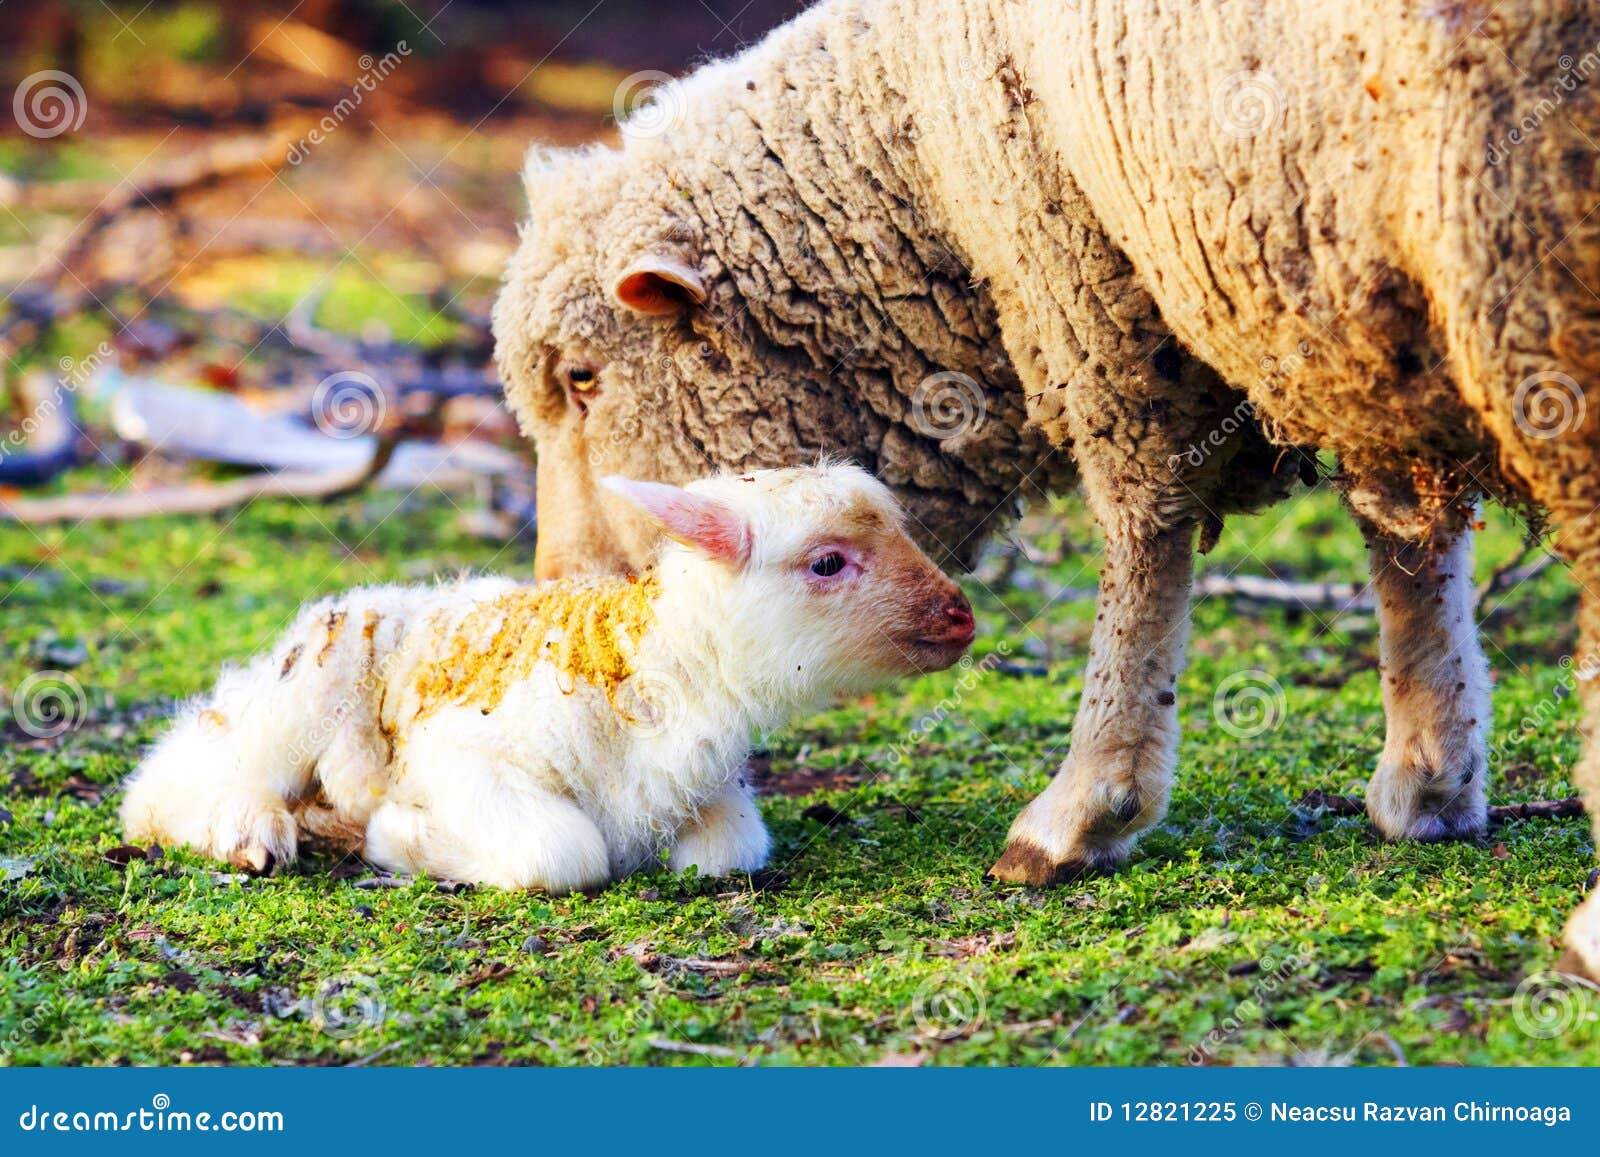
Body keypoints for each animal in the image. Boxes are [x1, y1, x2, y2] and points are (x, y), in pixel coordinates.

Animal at [119, 463, 975, 891]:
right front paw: (400, 836)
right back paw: (252, 832)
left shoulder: (716, 789)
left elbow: (729, 852)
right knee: (165, 785)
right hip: (301, 694)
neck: (656, 669)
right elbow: (564, 852)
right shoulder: (461, 757)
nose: (962, 617)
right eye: (828, 561)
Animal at [493, 0, 1600, 973]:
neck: (915, 154)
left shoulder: (1087, 278)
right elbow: (1409, 541)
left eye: (581, 377)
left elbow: (1145, 531)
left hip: (1524, 241)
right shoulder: (1345, 290)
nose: (561, 593)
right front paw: (1432, 780)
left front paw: (1089, 806)